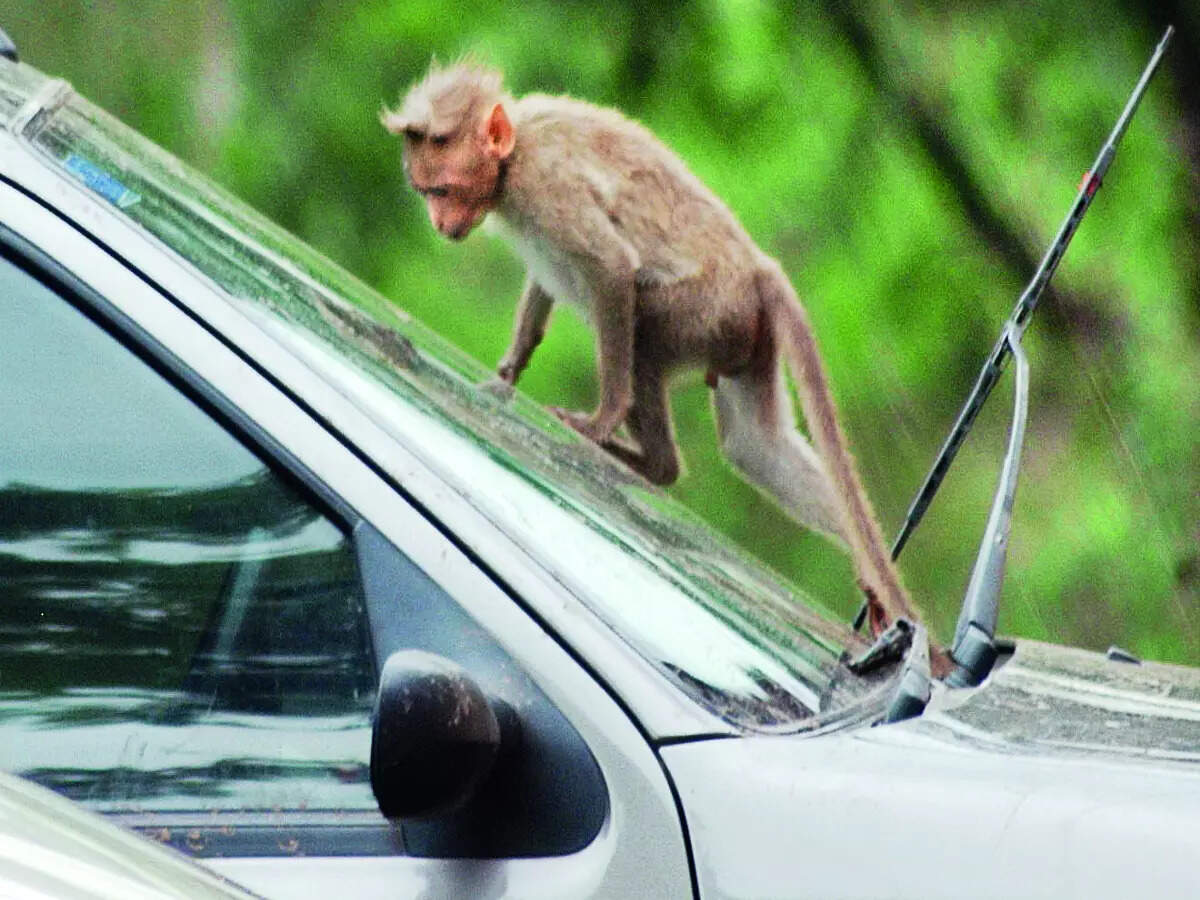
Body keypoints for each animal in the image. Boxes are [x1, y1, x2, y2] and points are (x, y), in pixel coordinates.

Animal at [381, 60, 927, 641]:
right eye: (426, 192)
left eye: (443, 190)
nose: (440, 223)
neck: (515, 151)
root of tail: (758, 267)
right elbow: (546, 281)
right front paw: (510, 368)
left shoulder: (547, 185)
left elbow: (611, 267)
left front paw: (601, 419)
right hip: (746, 334)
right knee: (755, 447)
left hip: (710, 307)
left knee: (641, 335)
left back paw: (654, 464)